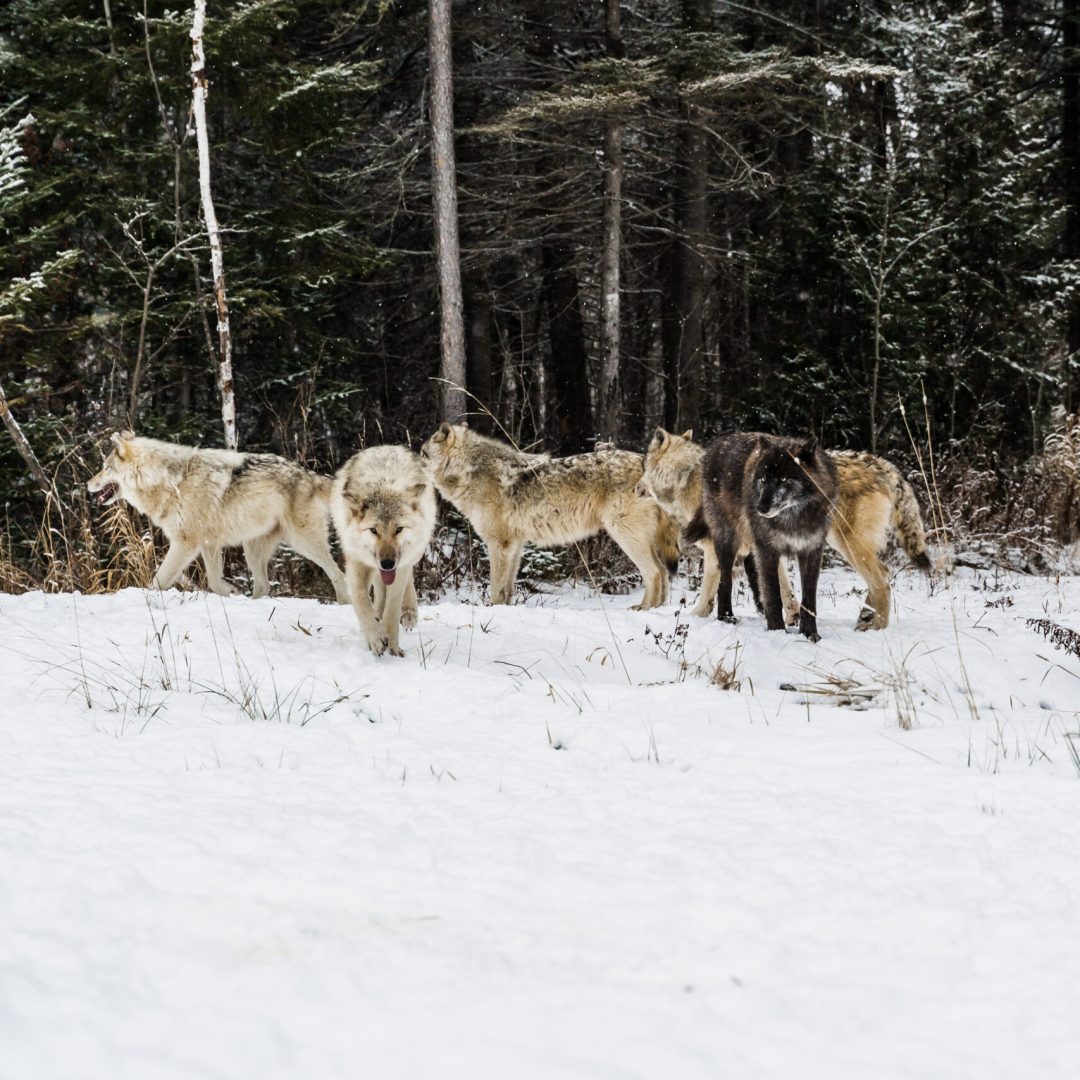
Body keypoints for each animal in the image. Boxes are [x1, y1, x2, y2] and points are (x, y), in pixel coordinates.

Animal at [87, 431, 349, 601]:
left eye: (106, 467)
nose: (87, 484)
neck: (169, 480)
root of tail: (309, 475)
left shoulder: (186, 544)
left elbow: (159, 580)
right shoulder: (208, 544)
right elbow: (213, 581)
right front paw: (231, 592)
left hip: (303, 543)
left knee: (339, 574)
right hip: (252, 551)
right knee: (263, 585)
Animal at [330, 445, 436, 657]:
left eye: (398, 529)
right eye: (373, 530)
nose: (387, 563)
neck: (383, 485)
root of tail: (386, 446)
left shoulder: (400, 567)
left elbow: (393, 608)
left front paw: (393, 647)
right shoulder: (356, 562)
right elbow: (362, 600)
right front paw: (375, 637)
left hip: (414, 552)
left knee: (406, 580)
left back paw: (409, 613)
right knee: (379, 593)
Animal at [420, 423, 679, 609]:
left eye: (422, 454)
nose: (412, 462)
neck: (469, 471)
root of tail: (645, 464)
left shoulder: (498, 544)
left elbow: (495, 587)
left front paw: (492, 610)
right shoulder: (515, 545)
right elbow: (508, 589)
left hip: (625, 536)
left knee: (654, 573)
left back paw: (643, 609)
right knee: (663, 572)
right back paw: (658, 609)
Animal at [645, 428, 931, 631]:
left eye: (644, 463)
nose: (638, 487)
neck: (686, 479)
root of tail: (885, 466)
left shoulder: (719, 551)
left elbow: (710, 590)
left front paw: (697, 615)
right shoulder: (764, 548)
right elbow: (782, 589)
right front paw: (790, 617)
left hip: (846, 544)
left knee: (881, 579)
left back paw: (876, 627)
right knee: (882, 574)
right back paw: (864, 617)